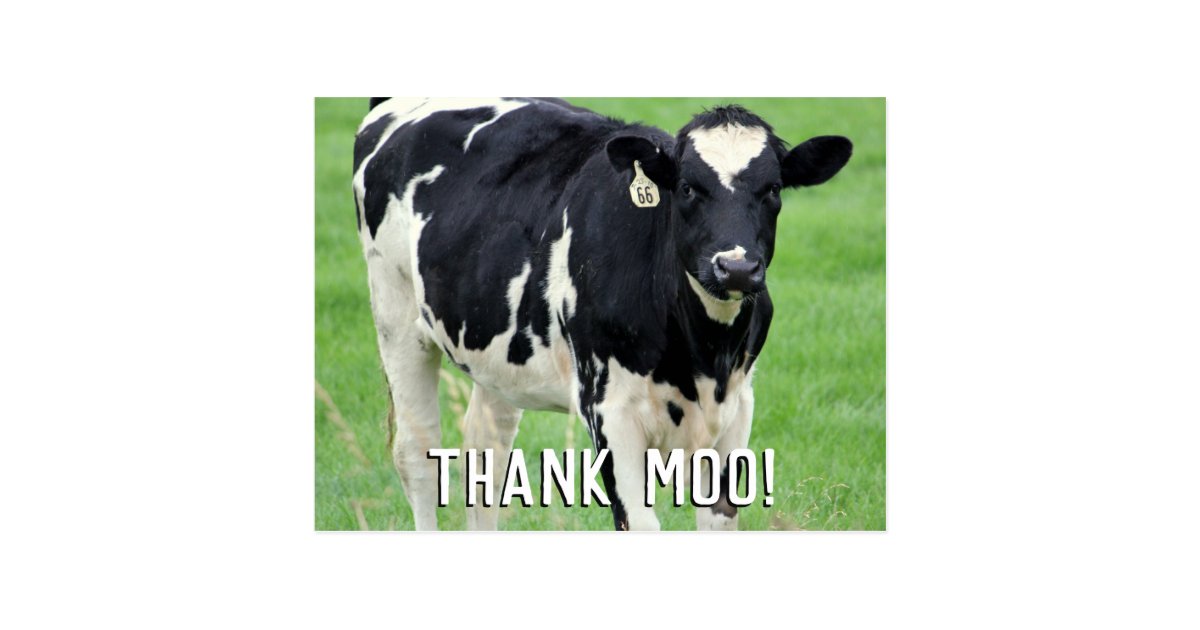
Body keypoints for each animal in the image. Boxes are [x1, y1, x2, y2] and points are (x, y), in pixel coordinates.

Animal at [353, 97, 851, 530]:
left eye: (773, 190)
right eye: (688, 187)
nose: (736, 267)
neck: (704, 354)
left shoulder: (736, 407)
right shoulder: (608, 410)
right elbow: (640, 522)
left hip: (495, 350)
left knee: (486, 457)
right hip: (395, 316)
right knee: (417, 455)